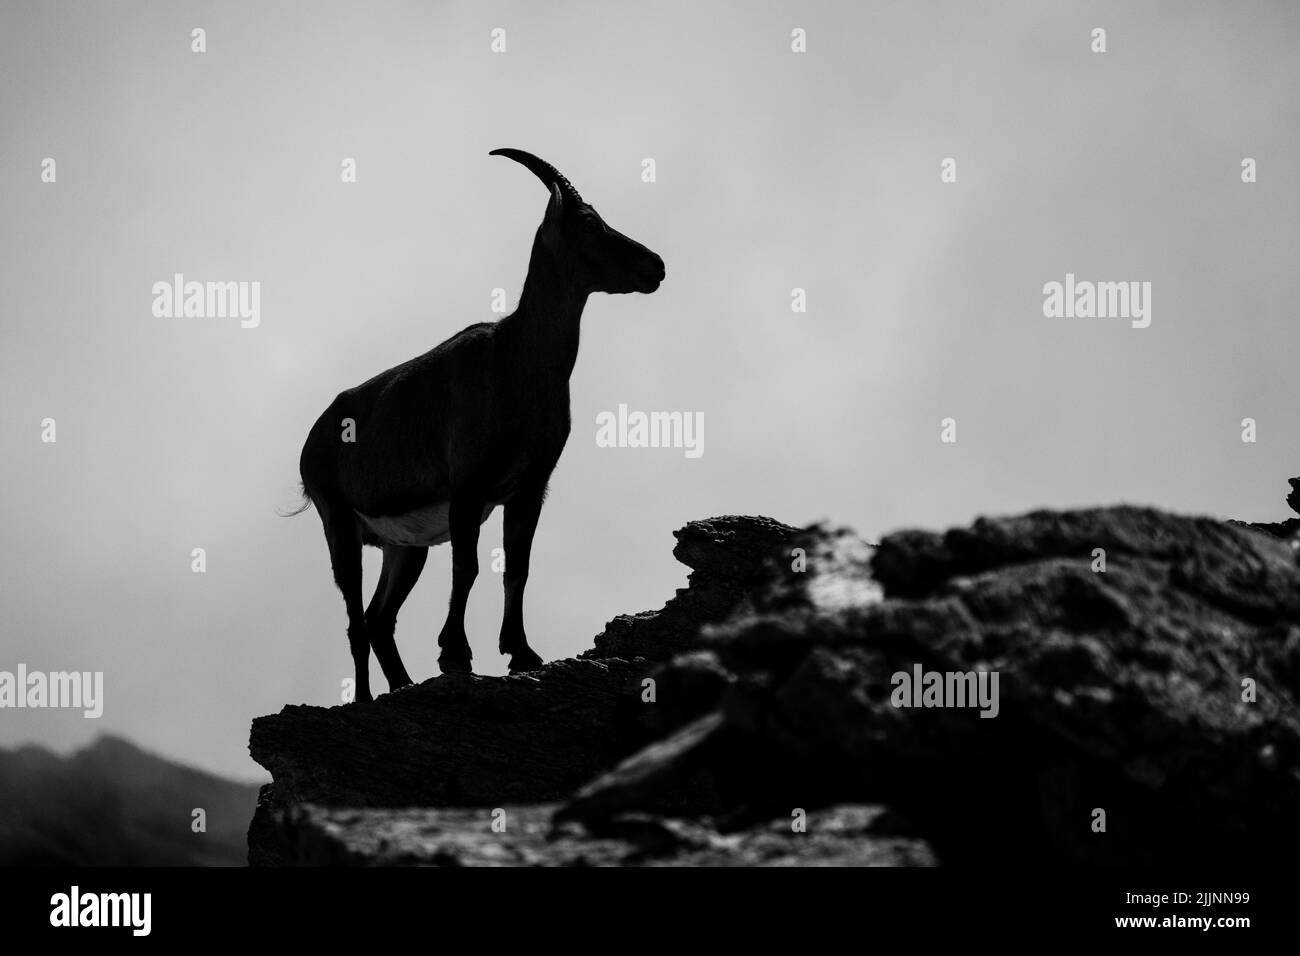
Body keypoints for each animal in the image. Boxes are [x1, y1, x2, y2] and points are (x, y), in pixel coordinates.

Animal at [292, 148, 665, 702]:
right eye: (589, 223)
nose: (655, 265)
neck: (517, 360)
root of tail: (311, 440)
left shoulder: (530, 485)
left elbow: (517, 566)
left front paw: (521, 652)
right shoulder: (467, 482)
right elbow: (466, 566)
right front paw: (455, 654)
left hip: (405, 547)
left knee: (381, 618)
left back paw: (403, 685)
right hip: (338, 521)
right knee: (357, 620)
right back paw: (363, 698)